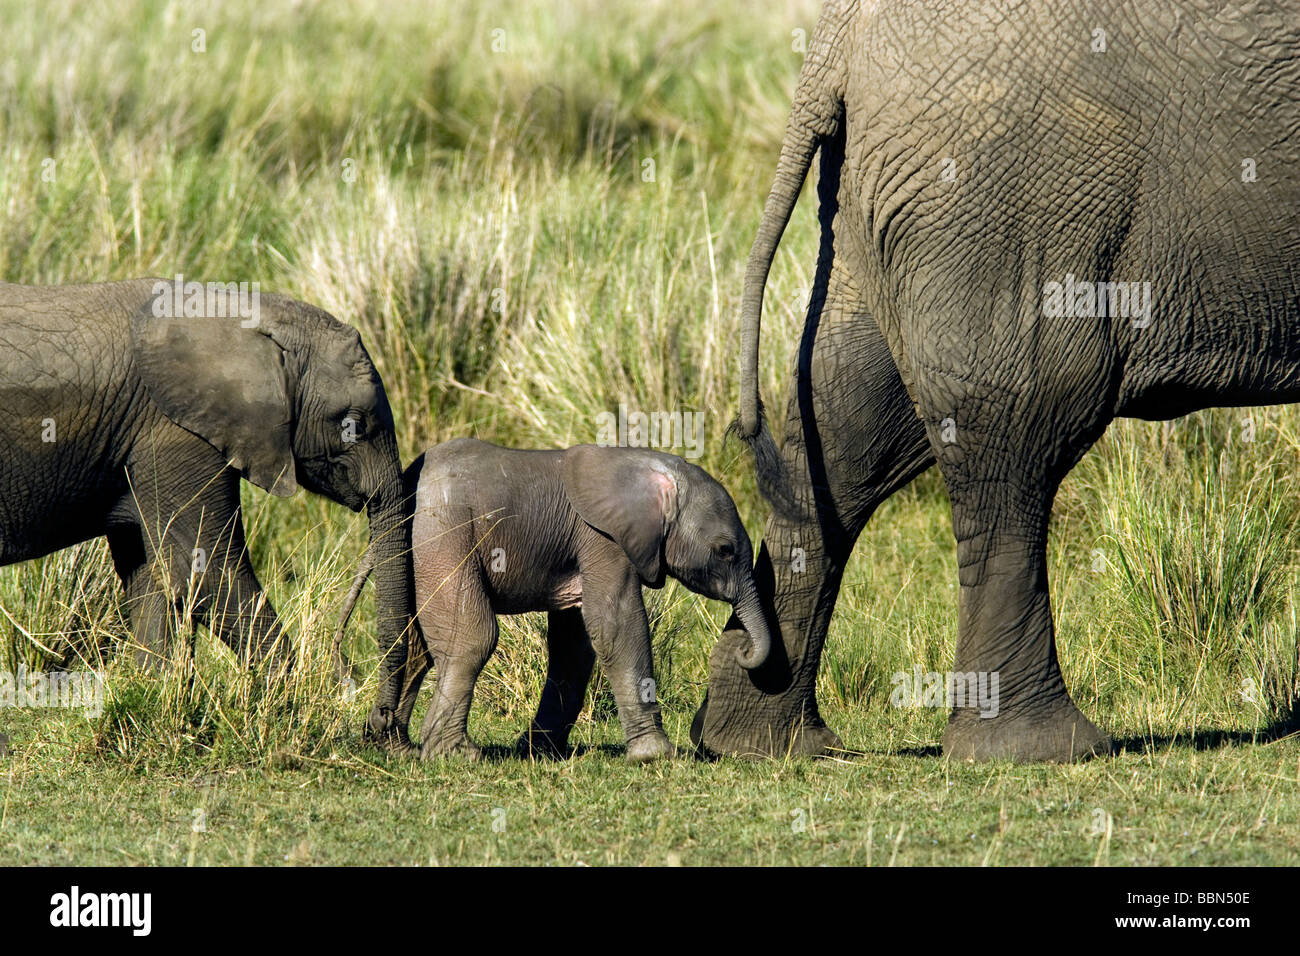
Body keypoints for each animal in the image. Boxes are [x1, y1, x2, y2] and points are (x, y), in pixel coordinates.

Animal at [0, 278, 415, 747]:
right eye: (354, 423)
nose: (382, 726)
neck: (242, 310)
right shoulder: (175, 431)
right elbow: (204, 572)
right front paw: (282, 714)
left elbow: (154, 576)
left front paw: (155, 697)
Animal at [335, 438, 770, 763]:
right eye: (725, 551)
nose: (745, 651)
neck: (643, 464)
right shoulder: (604, 540)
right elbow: (615, 628)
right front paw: (655, 755)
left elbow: (575, 643)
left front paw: (538, 750)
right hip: (443, 537)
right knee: (472, 638)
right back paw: (455, 754)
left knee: (415, 648)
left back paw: (398, 747)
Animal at [693, 0, 1300, 762]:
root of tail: (835, 39)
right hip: (1005, 200)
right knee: (1016, 430)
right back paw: (1043, 749)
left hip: (891, 204)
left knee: (847, 425)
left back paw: (761, 745)